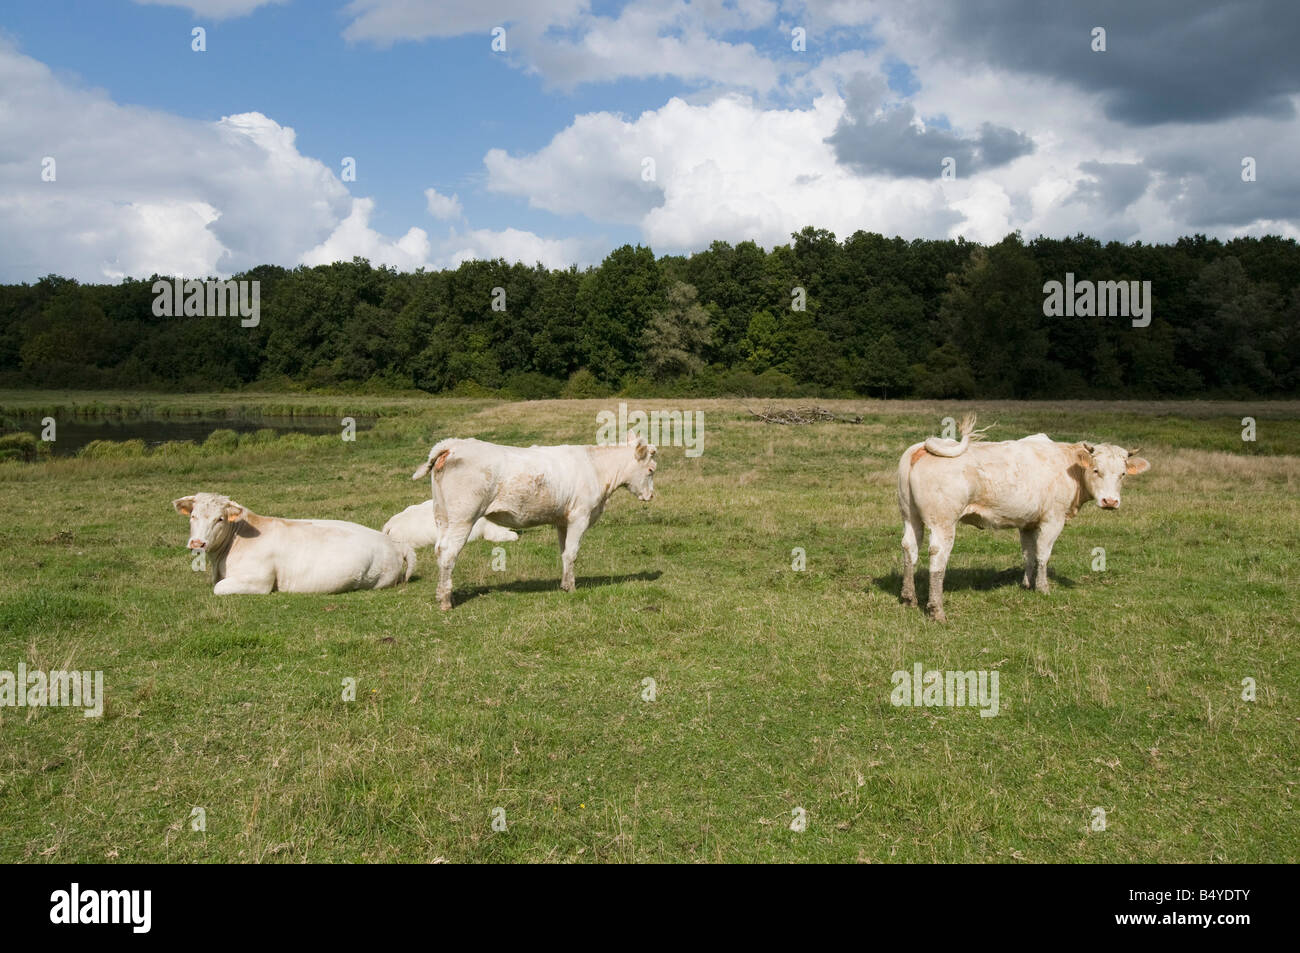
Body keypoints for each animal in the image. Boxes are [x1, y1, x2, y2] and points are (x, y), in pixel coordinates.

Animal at [173, 492, 415, 595]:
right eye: (193, 516)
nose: (197, 543)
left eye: (220, 519)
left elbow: (218, 588)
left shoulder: (258, 581)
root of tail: (394, 543)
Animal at [411, 432, 657, 610]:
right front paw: (572, 587)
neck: (596, 468)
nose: (651, 496)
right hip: (462, 517)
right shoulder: (580, 516)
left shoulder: (562, 520)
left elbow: (564, 553)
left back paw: (441, 595)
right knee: (448, 552)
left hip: (442, 516)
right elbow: (572, 553)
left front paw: (564, 584)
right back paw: (446, 602)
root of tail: (453, 445)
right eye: (651, 470)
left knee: (438, 549)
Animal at [896, 414, 1150, 621]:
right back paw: (936, 609)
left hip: (911, 517)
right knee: (938, 556)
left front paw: (1027, 584)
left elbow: (1028, 553)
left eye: (1123, 474)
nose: (1110, 502)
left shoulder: (1027, 522)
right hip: (943, 523)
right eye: (1096, 470)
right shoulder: (1053, 519)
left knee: (910, 548)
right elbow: (1043, 554)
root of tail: (921, 448)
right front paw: (1043, 588)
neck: (1069, 465)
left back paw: (909, 598)